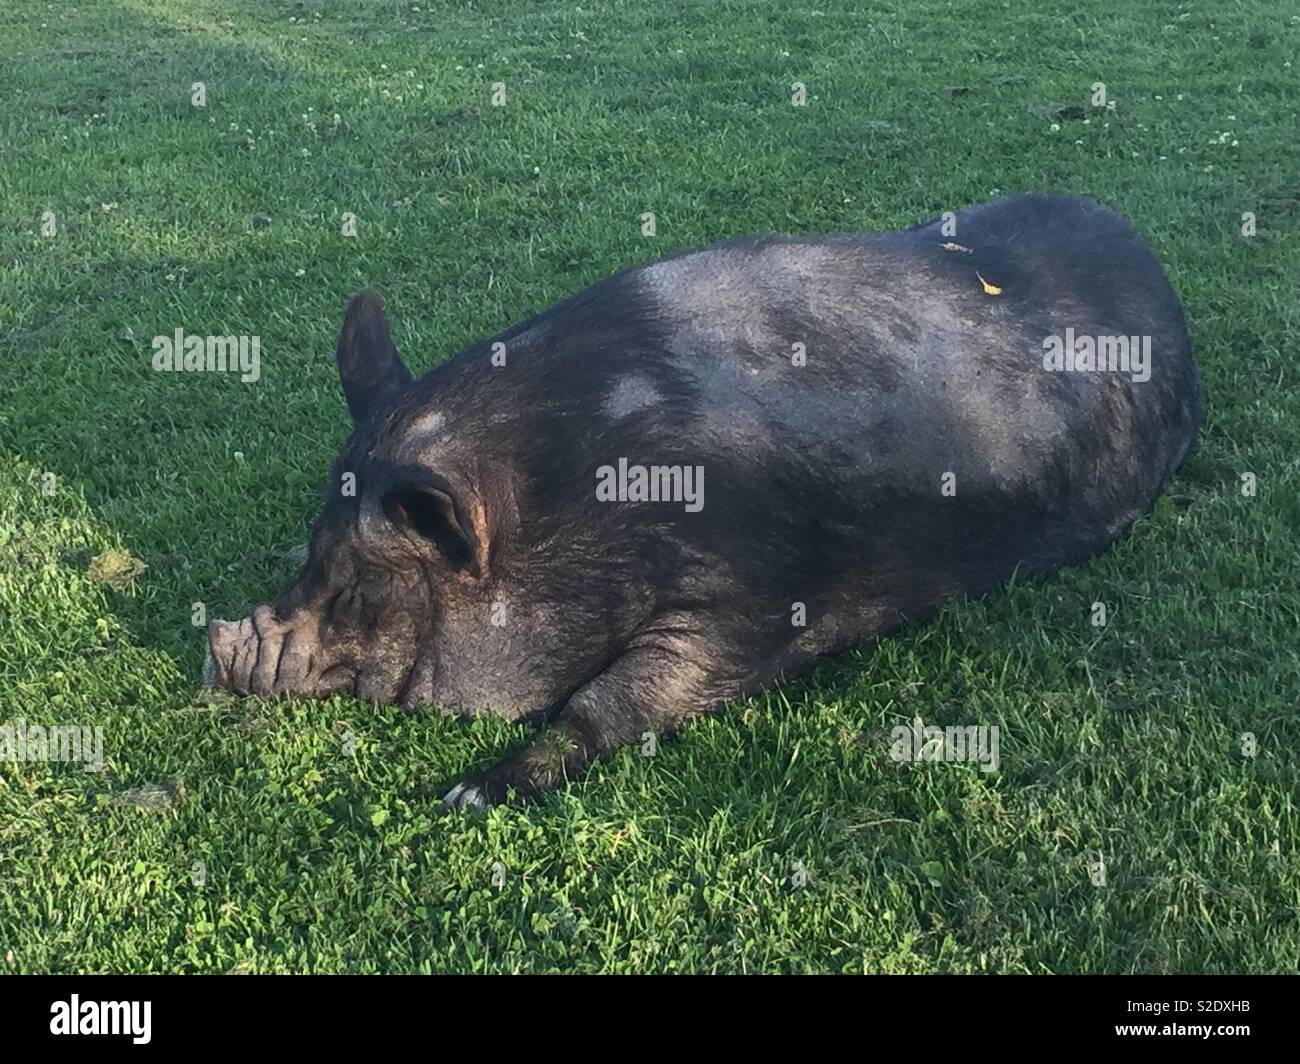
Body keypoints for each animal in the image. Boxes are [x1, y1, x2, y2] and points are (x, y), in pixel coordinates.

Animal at [207, 192, 1202, 810]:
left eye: (355, 588)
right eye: (310, 547)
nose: (213, 648)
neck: (569, 495)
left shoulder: (744, 594)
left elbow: (618, 702)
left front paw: (465, 794)